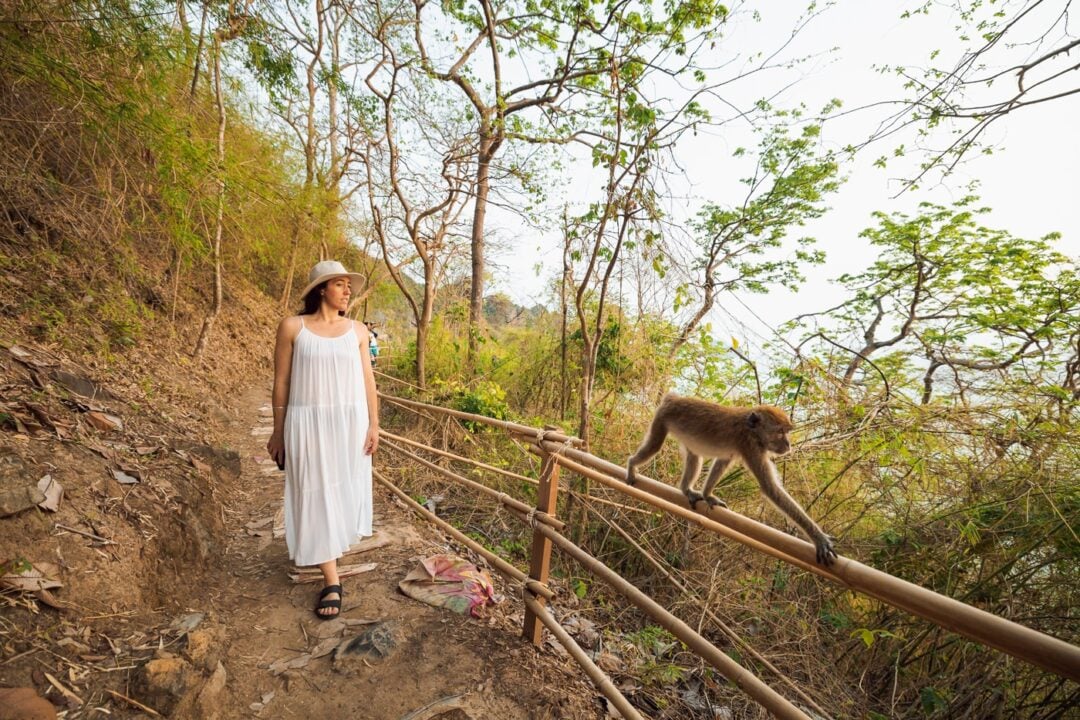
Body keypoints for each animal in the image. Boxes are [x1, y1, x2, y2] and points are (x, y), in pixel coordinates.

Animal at [626, 393, 837, 565]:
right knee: (654, 446)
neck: (751, 429)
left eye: (787, 432)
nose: (788, 444)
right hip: (661, 418)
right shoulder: (750, 446)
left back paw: (686, 489)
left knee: (694, 457)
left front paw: (707, 495)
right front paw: (818, 538)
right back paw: (631, 466)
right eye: (780, 432)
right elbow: (770, 487)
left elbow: (722, 461)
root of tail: (673, 398)